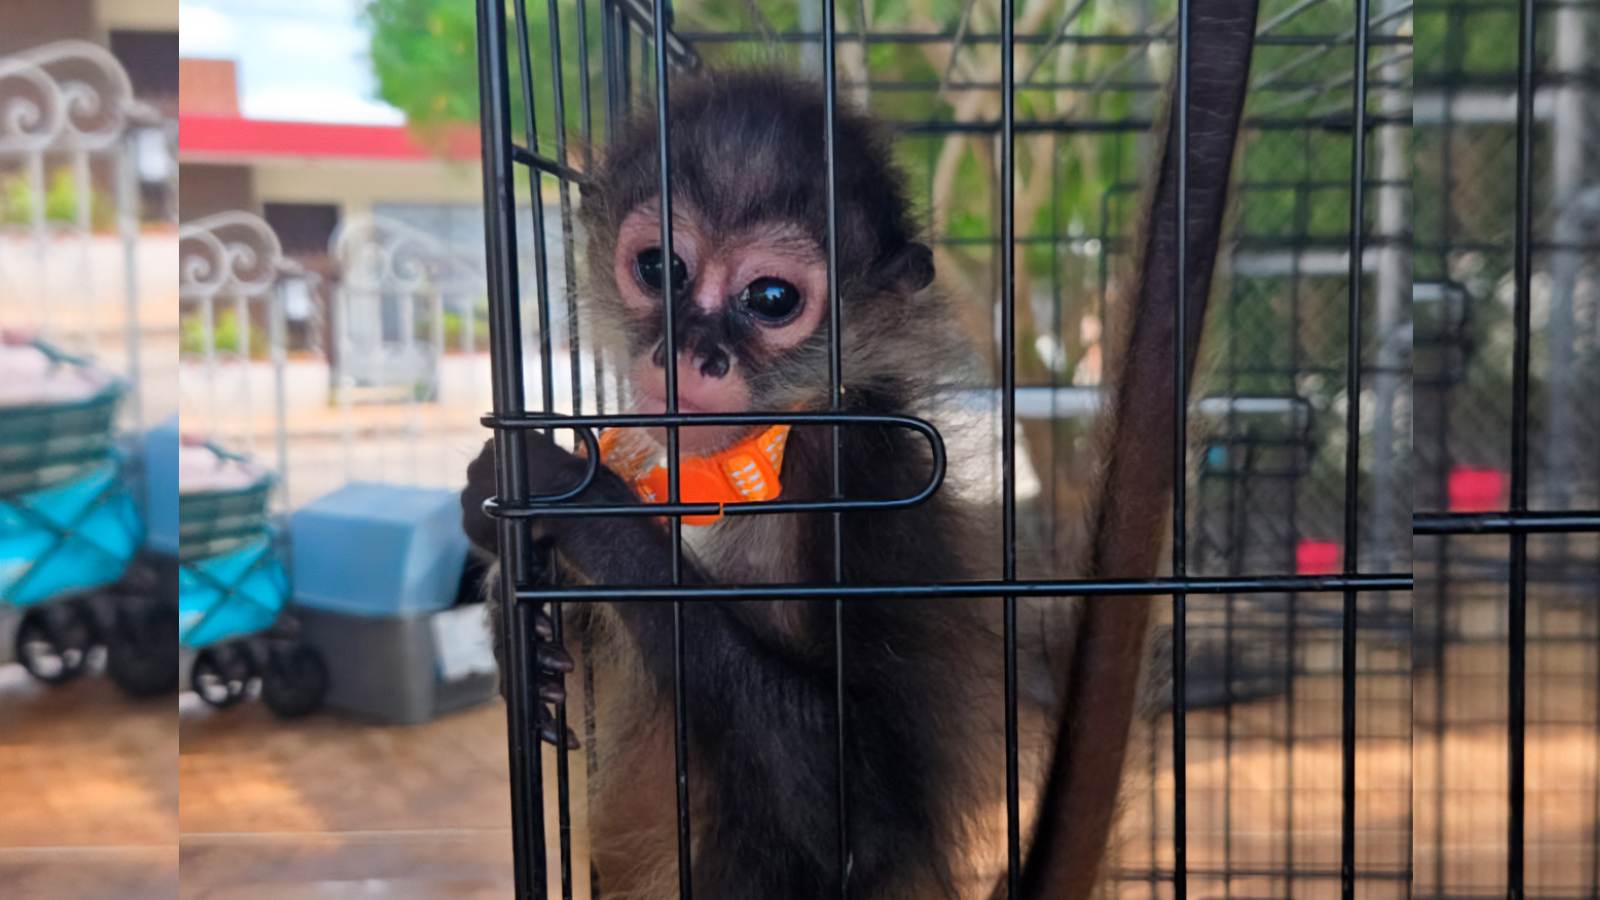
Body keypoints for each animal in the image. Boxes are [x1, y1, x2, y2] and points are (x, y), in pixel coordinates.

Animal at [461, 4, 1259, 897]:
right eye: (659, 266)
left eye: (772, 298)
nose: (694, 353)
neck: (729, 466)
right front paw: (519, 615)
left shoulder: (860, 476)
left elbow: (862, 821)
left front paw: (586, 510)